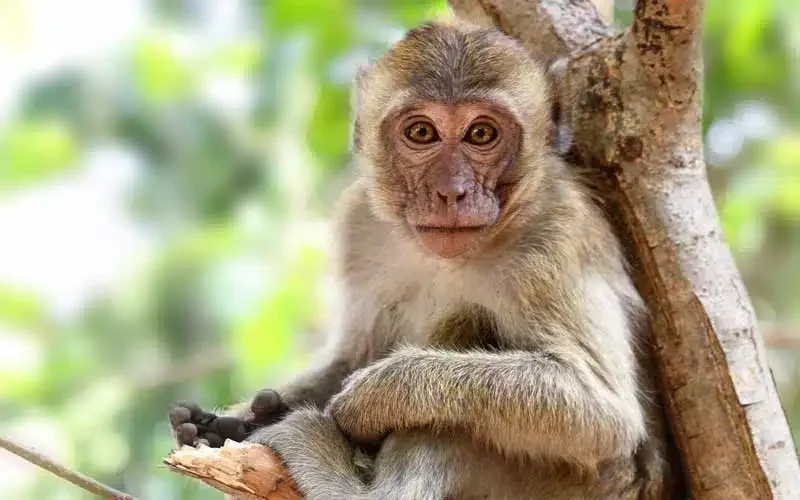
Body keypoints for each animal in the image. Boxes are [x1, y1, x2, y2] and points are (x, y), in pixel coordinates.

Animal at [169, 16, 677, 500]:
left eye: (481, 133)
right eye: (421, 132)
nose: (451, 191)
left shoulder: (557, 237)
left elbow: (602, 415)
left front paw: (374, 397)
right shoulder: (359, 224)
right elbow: (352, 354)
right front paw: (228, 422)